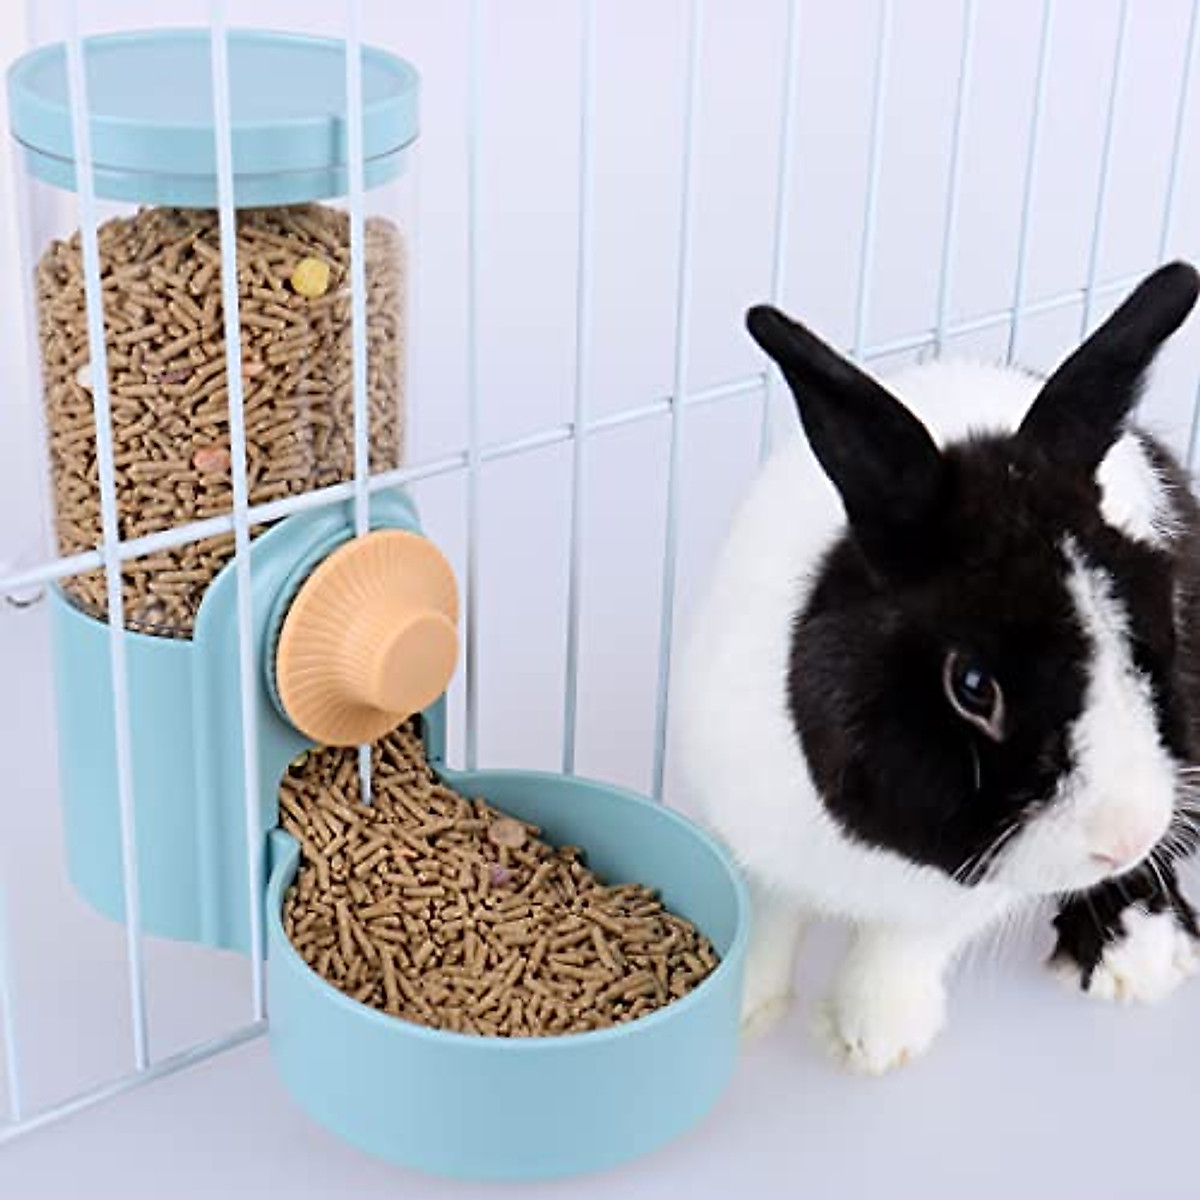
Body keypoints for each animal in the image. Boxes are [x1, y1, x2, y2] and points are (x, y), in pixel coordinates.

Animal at [675, 262, 1200, 1074]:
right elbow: (767, 914)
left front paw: (872, 1042)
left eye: (1157, 623)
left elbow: (904, 943)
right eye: (972, 687)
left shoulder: (970, 885)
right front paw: (746, 1015)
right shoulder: (746, 829)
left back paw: (1136, 957)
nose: (1124, 834)